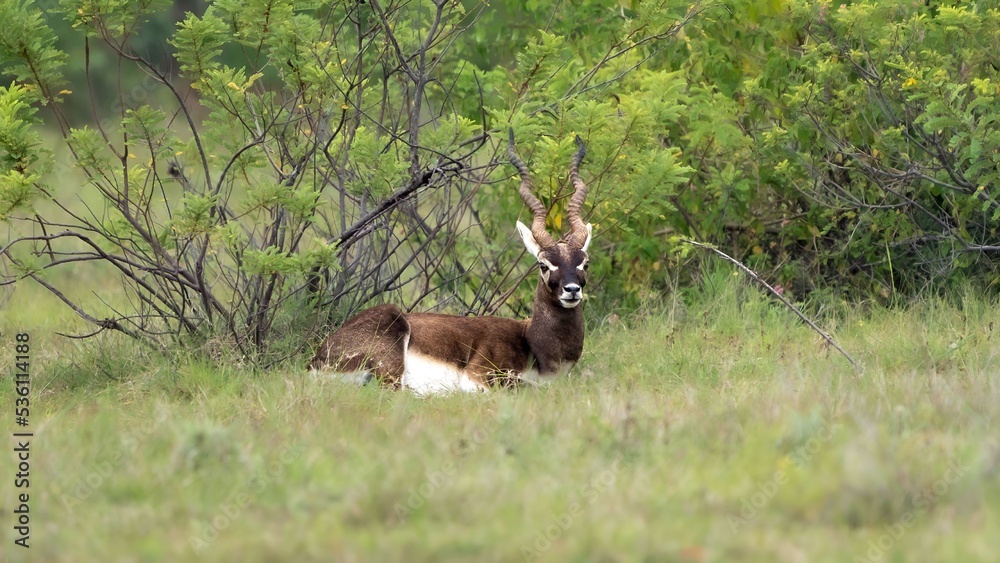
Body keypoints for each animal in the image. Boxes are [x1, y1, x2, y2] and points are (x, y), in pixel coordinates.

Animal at [307, 132, 593, 394]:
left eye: (584, 263)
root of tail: (316, 361)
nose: (572, 290)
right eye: (543, 264)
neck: (532, 342)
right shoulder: (479, 378)